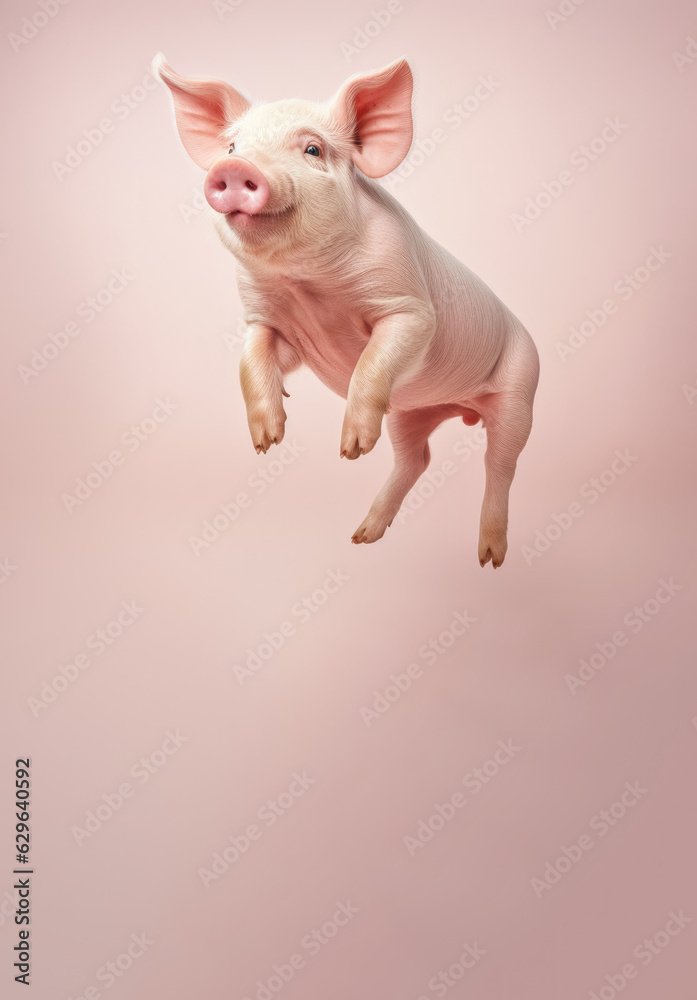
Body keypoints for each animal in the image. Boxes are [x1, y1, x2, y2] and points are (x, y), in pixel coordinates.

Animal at [153, 54, 539, 567]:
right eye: (232, 145)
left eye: (313, 149)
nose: (233, 166)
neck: (309, 286)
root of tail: (461, 408)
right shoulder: (267, 323)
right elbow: (250, 360)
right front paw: (267, 442)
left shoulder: (409, 307)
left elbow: (373, 358)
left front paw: (350, 449)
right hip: (407, 413)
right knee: (416, 459)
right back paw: (362, 536)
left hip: (521, 390)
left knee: (502, 462)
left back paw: (489, 558)